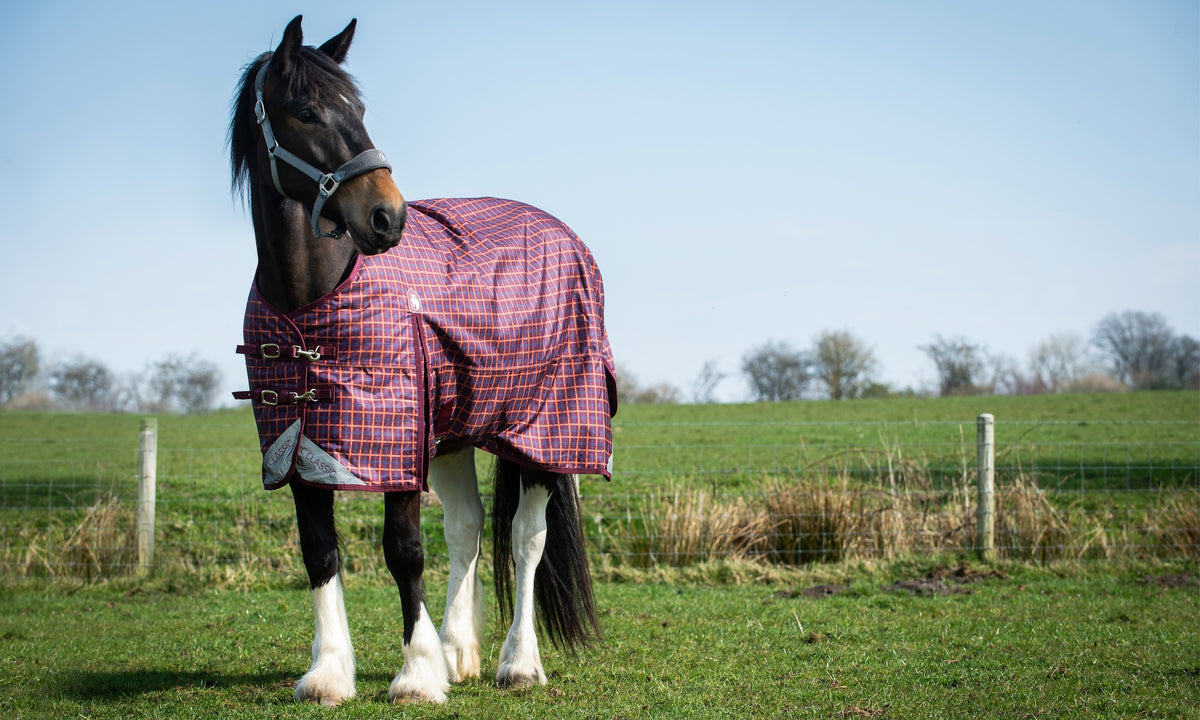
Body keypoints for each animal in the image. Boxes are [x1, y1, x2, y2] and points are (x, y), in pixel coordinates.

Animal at [228, 16, 617, 705]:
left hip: (546, 432)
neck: (310, 301)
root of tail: (561, 231)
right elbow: (319, 550)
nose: (388, 216)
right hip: (454, 431)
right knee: (466, 526)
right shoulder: (297, 445)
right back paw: (460, 651)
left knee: (526, 538)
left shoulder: (398, 442)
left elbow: (403, 549)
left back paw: (519, 663)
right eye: (307, 111)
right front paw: (331, 672)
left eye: (359, 110)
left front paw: (415, 673)